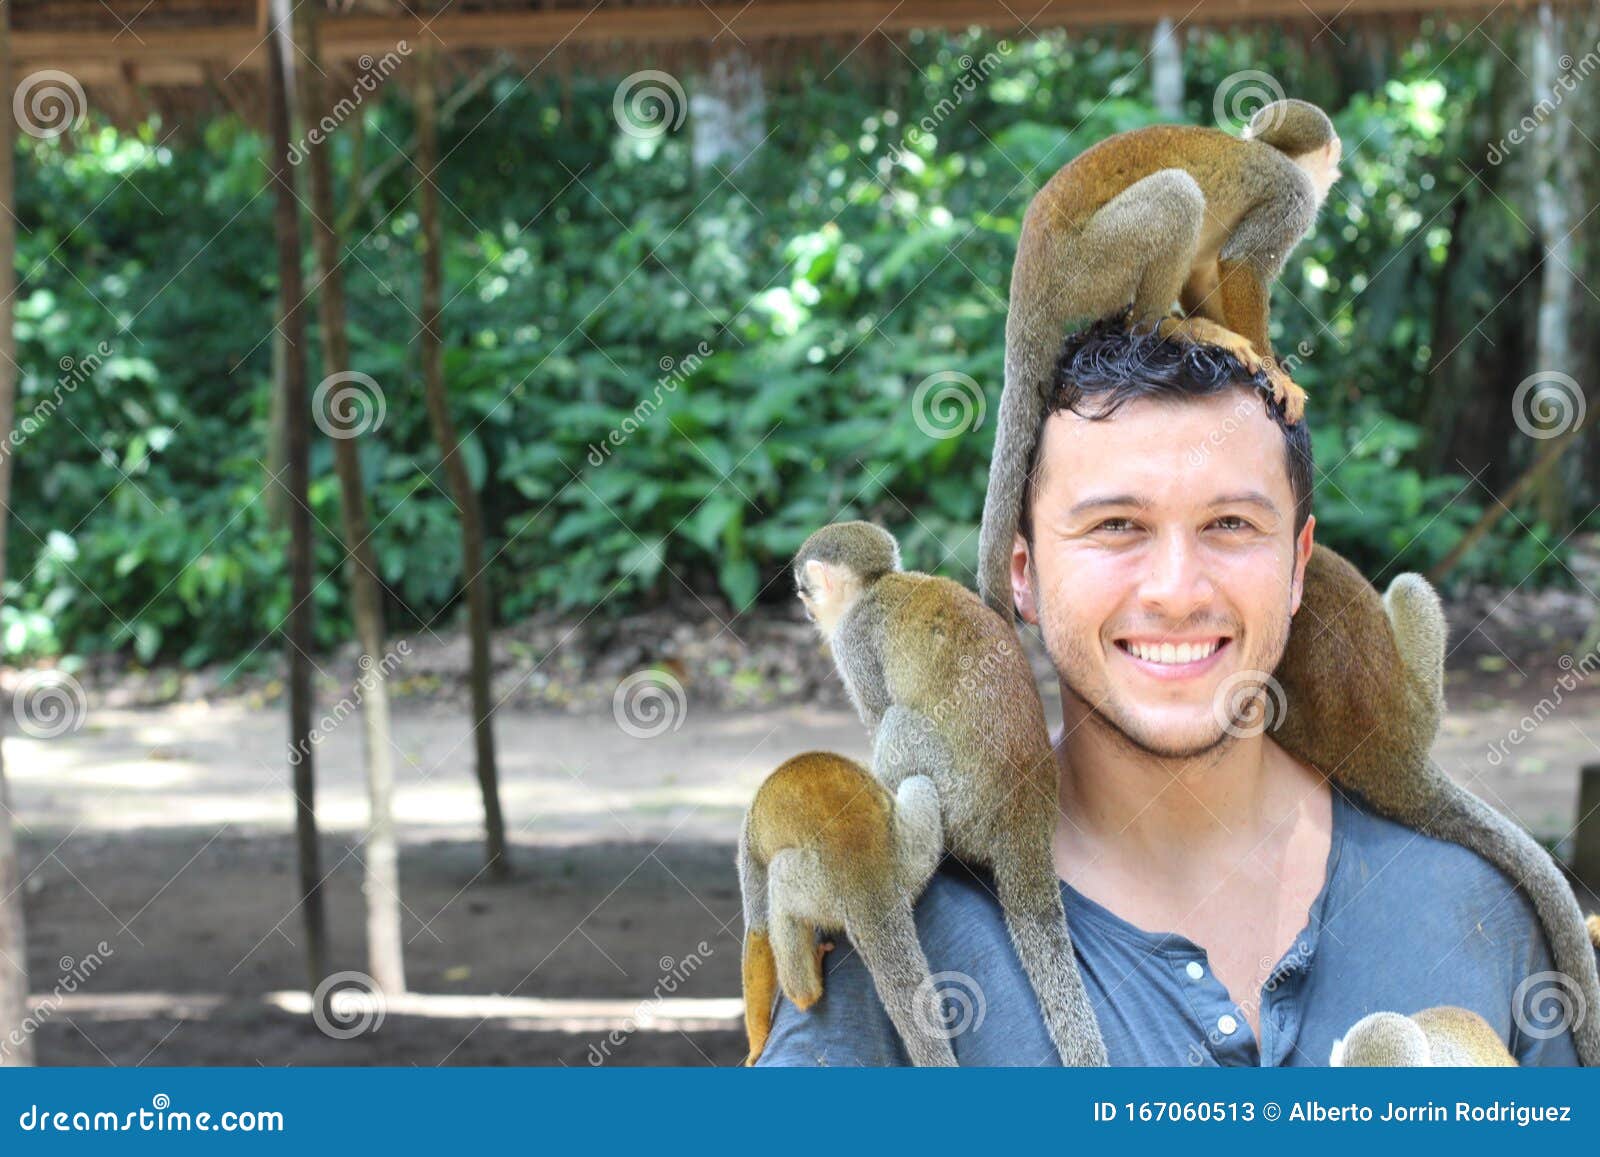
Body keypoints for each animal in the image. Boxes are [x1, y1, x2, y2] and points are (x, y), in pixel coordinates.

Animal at [737, 750, 949, 1066]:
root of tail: (864, 862)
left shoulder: (749, 843)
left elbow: (759, 932)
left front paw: (755, 1046)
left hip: (818, 886)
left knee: (779, 872)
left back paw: (806, 993)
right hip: (913, 852)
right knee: (919, 783)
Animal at [778, 520, 1108, 1066]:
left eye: (804, 590)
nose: (804, 610)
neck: (876, 585)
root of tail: (1026, 810)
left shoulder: (854, 640)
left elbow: (876, 712)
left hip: (958, 800)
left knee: (897, 722)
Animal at [976, 97, 1340, 615]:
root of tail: (1029, 278)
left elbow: (1209, 269)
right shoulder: (1294, 199)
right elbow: (1240, 263)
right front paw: (1274, 371)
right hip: (1088, 265)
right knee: (1177, 194)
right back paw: (1159, 324)